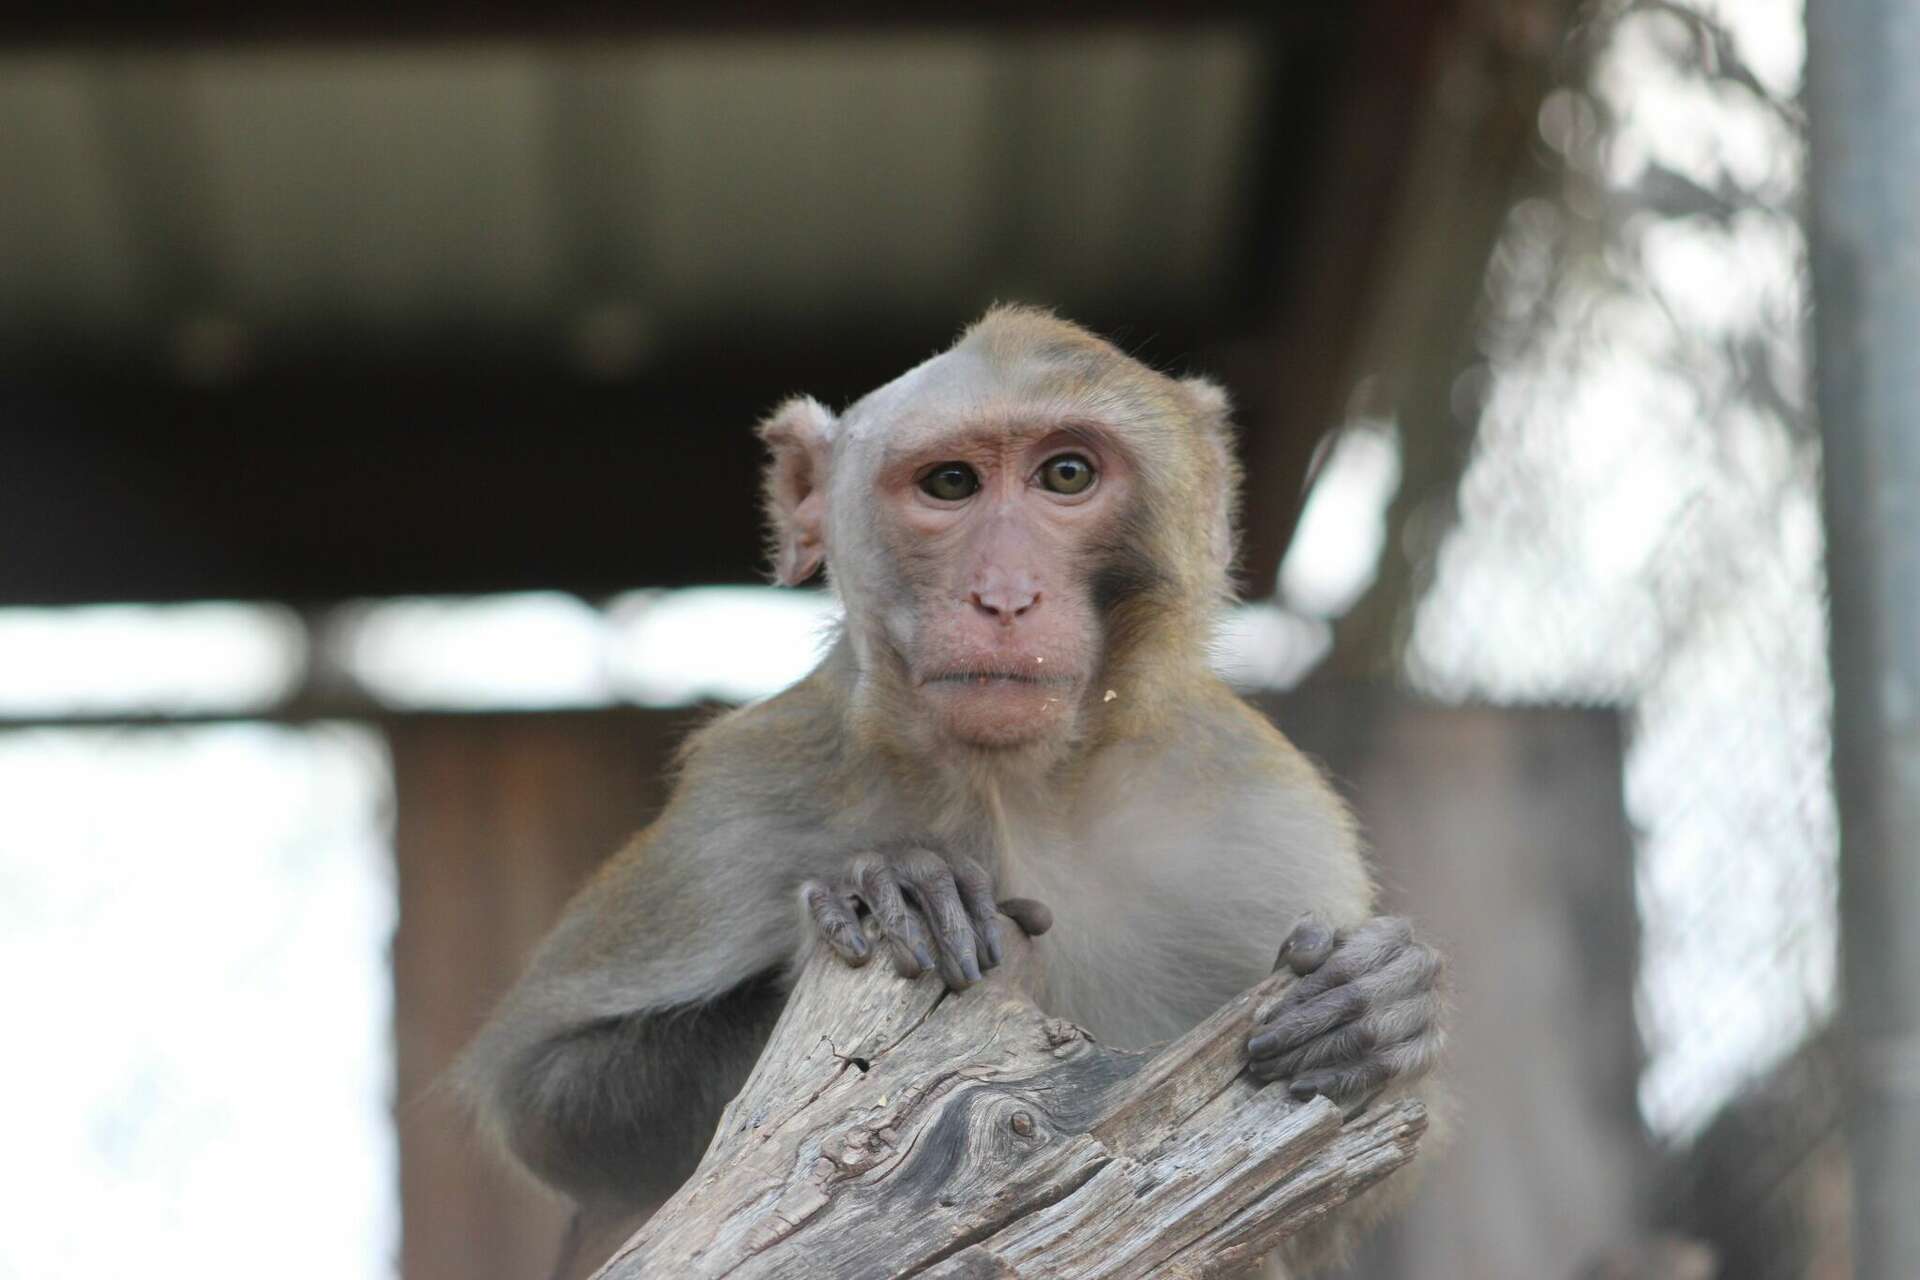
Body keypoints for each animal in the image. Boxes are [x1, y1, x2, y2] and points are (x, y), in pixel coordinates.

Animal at [455, 305, 1445, 1276]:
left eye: (1067, 474)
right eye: (951, 484)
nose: (1004, 597)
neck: (1014, 784)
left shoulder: (1259, 811)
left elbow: (1314, 1183)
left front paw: (1382, 1007)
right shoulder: (751, 796)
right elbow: (550, 1092)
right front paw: (897, 892)